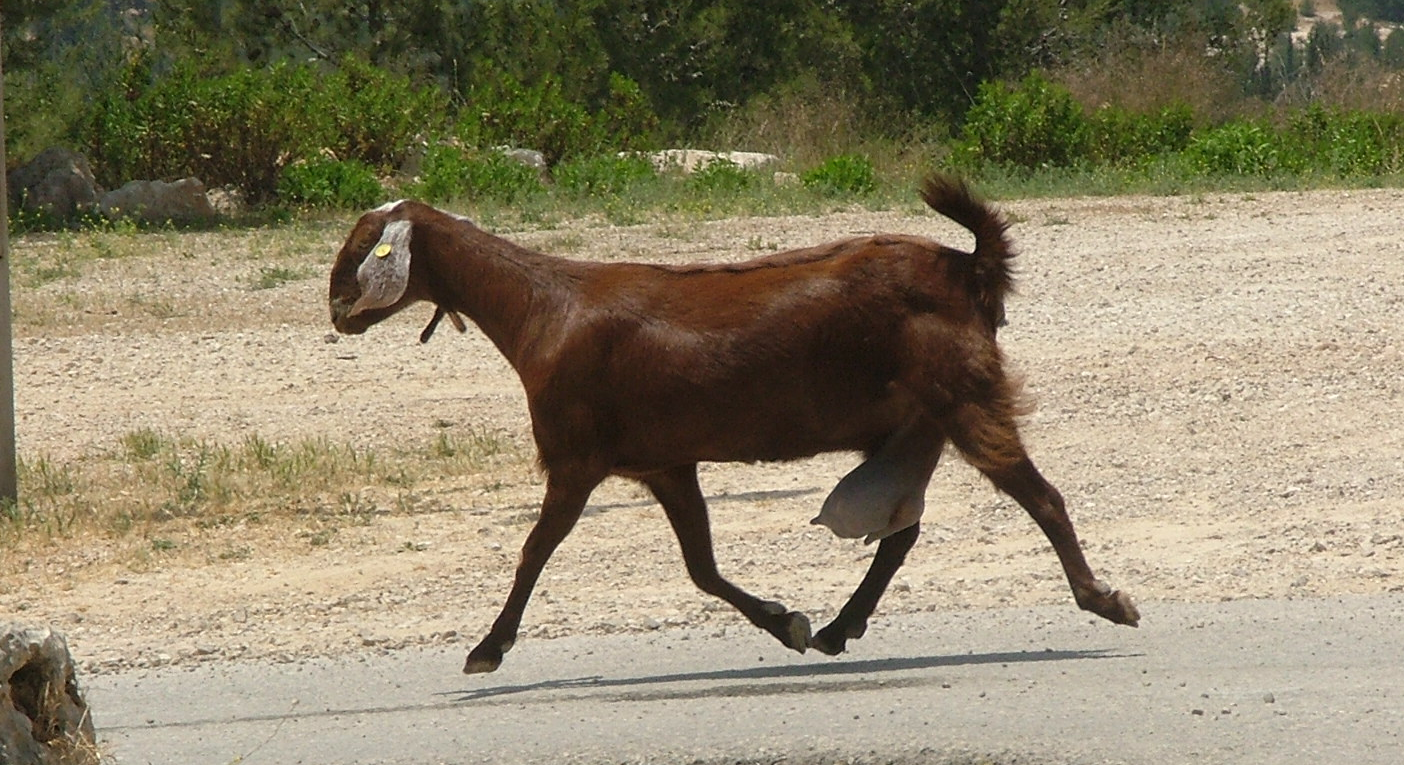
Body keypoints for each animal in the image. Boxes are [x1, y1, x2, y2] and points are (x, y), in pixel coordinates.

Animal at [327, 175, 1140, 674]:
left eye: (365, 242)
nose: (334, 309)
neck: (540, 309)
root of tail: (968, 266)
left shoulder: (576, 456)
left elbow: (534, 551)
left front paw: (487, 649)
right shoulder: (663, 462)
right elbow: (701, 566)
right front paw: (788, 622)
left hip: (966, 397)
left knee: (1041, 498)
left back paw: (1105, 600)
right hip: (917, 421)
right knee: (901, 532)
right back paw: (840, 627)